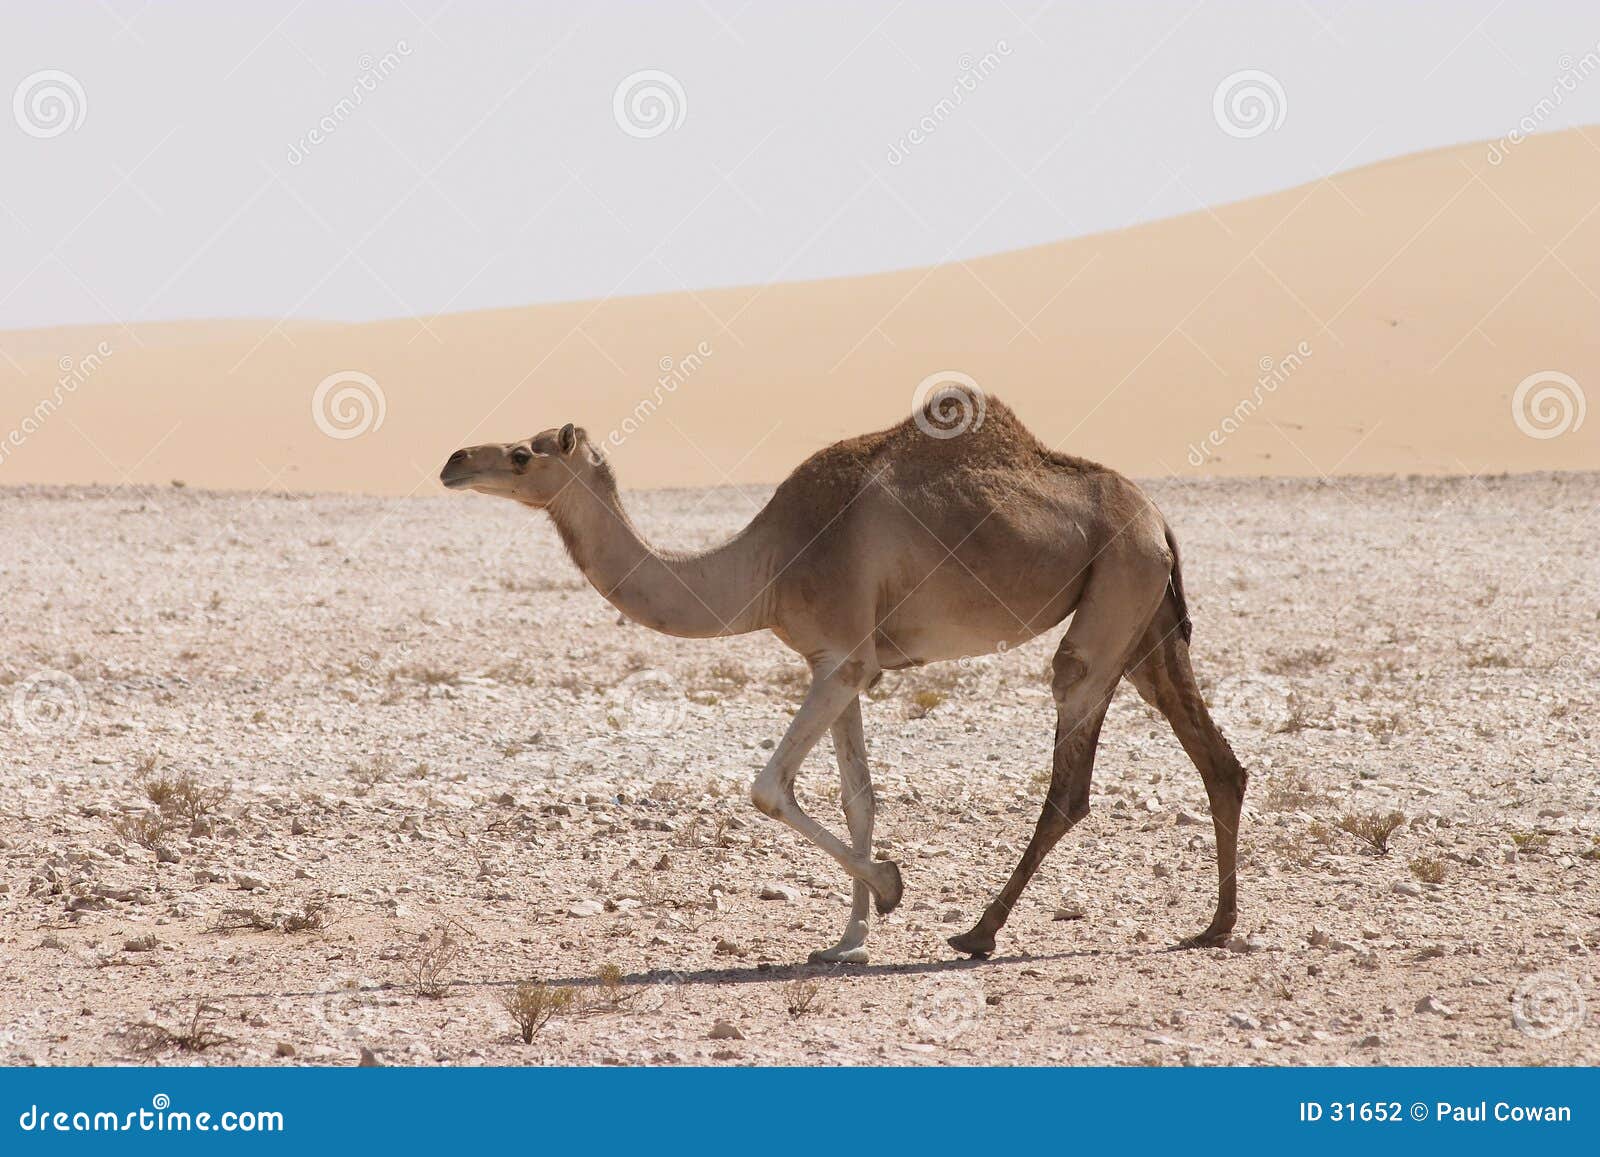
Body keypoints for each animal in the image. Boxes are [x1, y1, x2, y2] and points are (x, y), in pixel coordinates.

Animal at [440, 389, 1247, 963]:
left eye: (523, 453)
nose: (453, 459)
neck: (765, 566)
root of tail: (1158, 516)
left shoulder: (843, 660)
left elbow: (768, 787)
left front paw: (889, 887)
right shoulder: (841, 662)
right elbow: (860, 798)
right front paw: (849, 939)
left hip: (1113, 592)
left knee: (1071, 772)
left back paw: (978, 933)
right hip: (1144, 618)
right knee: (1217, 759)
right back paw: (1214, 926)